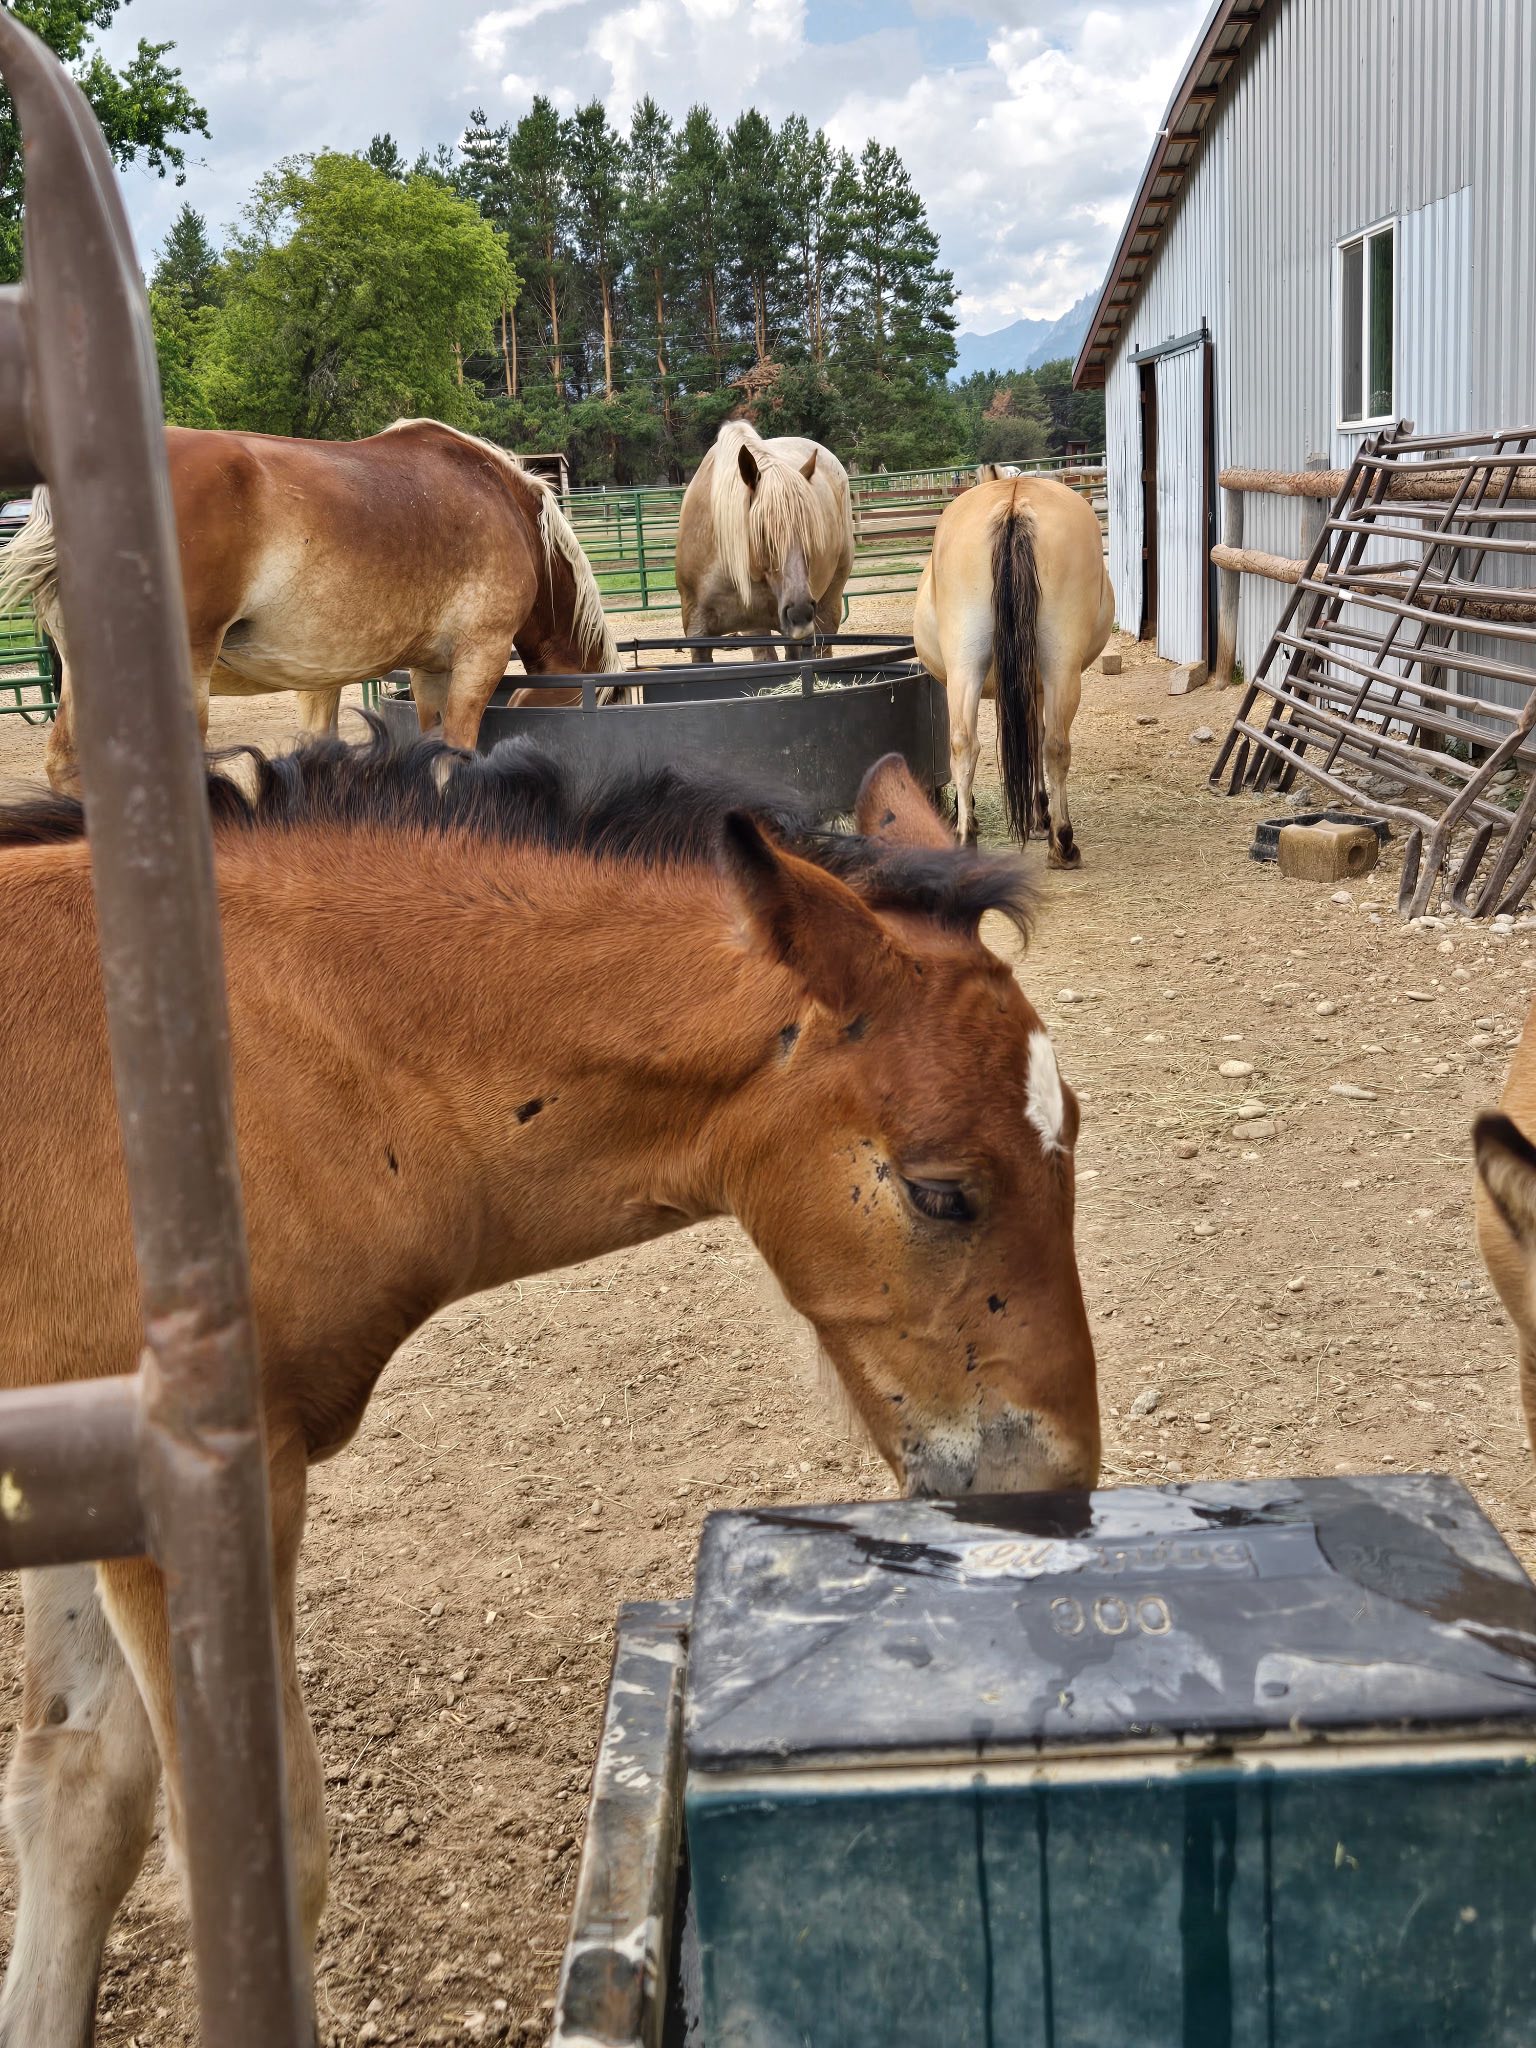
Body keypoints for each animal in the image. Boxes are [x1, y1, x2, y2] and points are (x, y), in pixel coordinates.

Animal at [0, 726, 1098, 2047]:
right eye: (942, 1191)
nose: (1055, 1486)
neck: (253, 1055)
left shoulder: (87, 1465)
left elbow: (80, 1793)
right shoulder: (211, 1493)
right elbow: (261, 1862)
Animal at [915, 475, 1114, 857]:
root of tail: (1013, 503)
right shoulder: (1035, 689)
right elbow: (1034, 740)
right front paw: (1039, 817)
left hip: (967, 665)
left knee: (965, 743)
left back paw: (967, 837)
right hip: (1058, 667)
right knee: (1053, 744)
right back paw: (1062, 841)